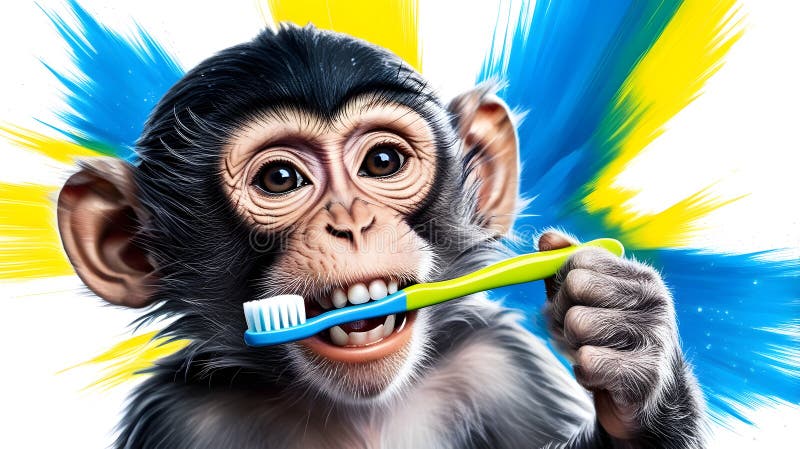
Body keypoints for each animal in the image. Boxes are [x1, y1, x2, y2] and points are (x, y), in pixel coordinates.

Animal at [56, 26, 704, 448]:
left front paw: (631, 349)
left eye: (383, 163)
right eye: (279, 178)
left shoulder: (501, 369)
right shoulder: (180, 420)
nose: (350, 220)